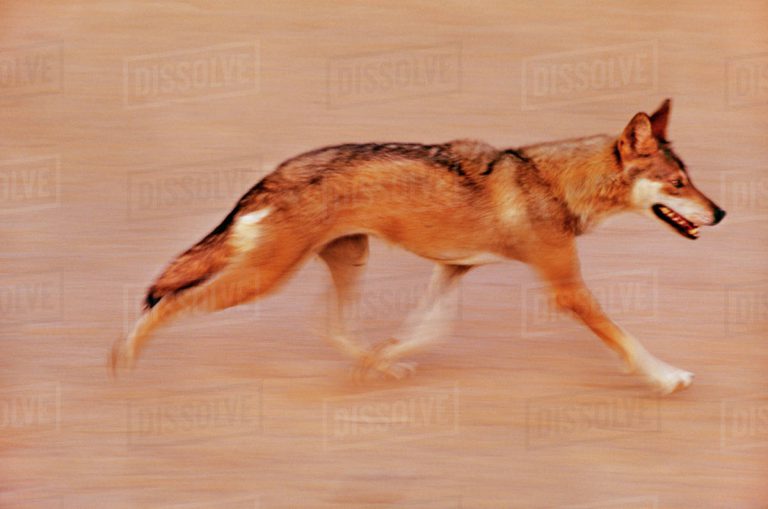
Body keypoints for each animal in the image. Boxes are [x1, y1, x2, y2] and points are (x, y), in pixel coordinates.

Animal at [111, 99, 725, 394]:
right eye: (678, 184)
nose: (720, 213)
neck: (553, 184)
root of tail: (275, 173)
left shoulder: (454, 269)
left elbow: (429, 329)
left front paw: (385, 358)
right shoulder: (567, 291)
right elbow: (629, 342)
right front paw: (667, 377)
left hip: (344, 259)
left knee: (329, 327)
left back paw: (374, 369)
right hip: (260, 280)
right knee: (170, 302)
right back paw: (125, 357)